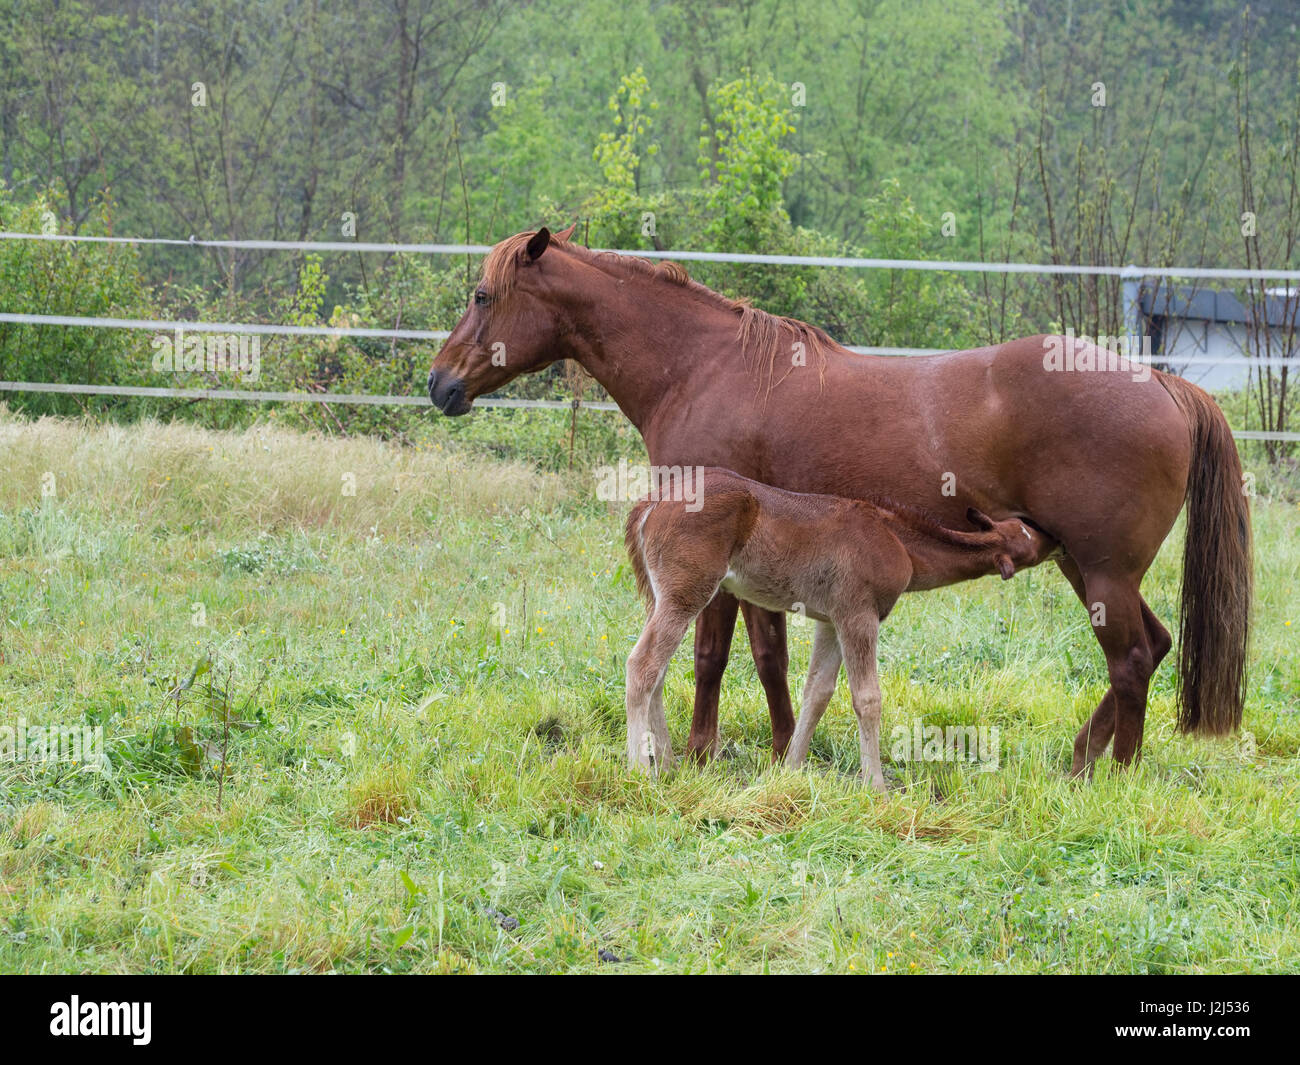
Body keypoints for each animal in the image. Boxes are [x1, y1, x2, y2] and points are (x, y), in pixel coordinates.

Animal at [622, 467, 1057, 786]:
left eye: (1025, 529)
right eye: (1029, 540)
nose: (1053, 535)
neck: (898, 539)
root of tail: (652, 502)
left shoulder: (830, 622)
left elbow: (817, 691)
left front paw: (791, 771)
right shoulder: (858, 615)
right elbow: (867, 698)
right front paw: (876, 785)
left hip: (664, 598)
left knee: (658, 672)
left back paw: (669, 764)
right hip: (686, 594)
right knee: (642, 665)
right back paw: (640, 770)